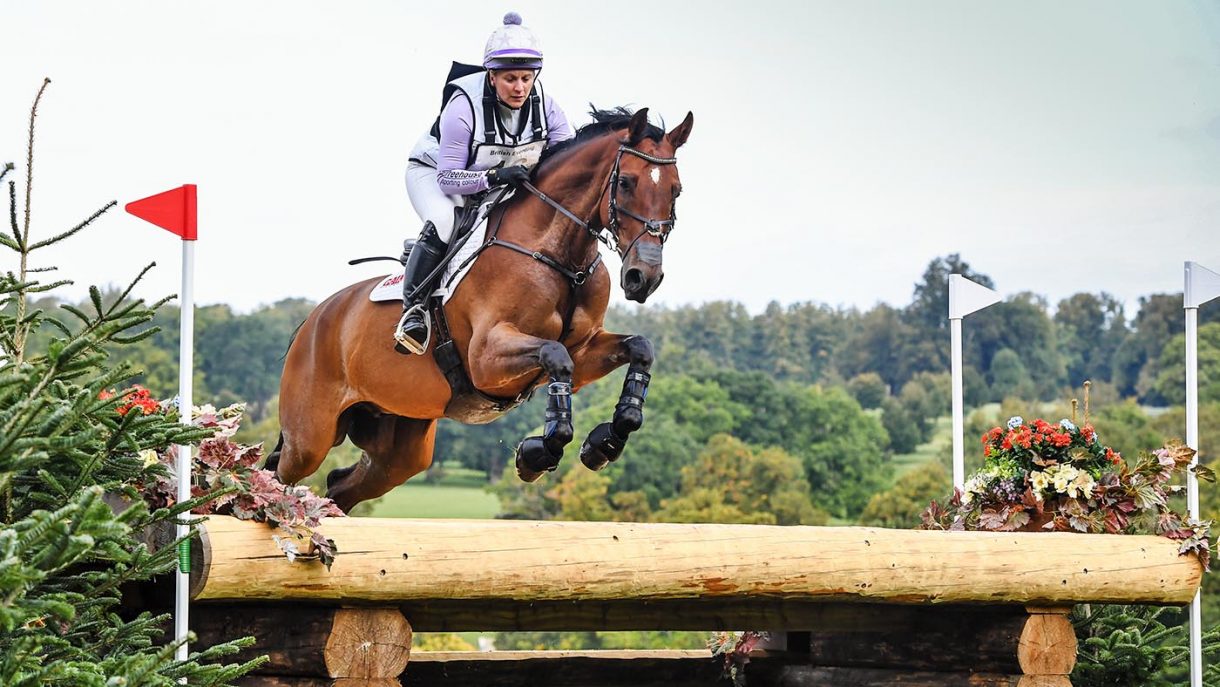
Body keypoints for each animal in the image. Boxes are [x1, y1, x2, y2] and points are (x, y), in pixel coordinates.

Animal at [266, 107, 693, 513]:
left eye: (675, 190)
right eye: (626, 183)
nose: (643, 277)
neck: (558, 255)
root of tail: (311, 321)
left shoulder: (585, 349)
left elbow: (639, 348)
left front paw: (604, 442)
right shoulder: (486, 357)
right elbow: (555, 356)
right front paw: (537, 454)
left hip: (399, 443)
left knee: (342, 487)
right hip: (311, 435)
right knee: (280, 471)